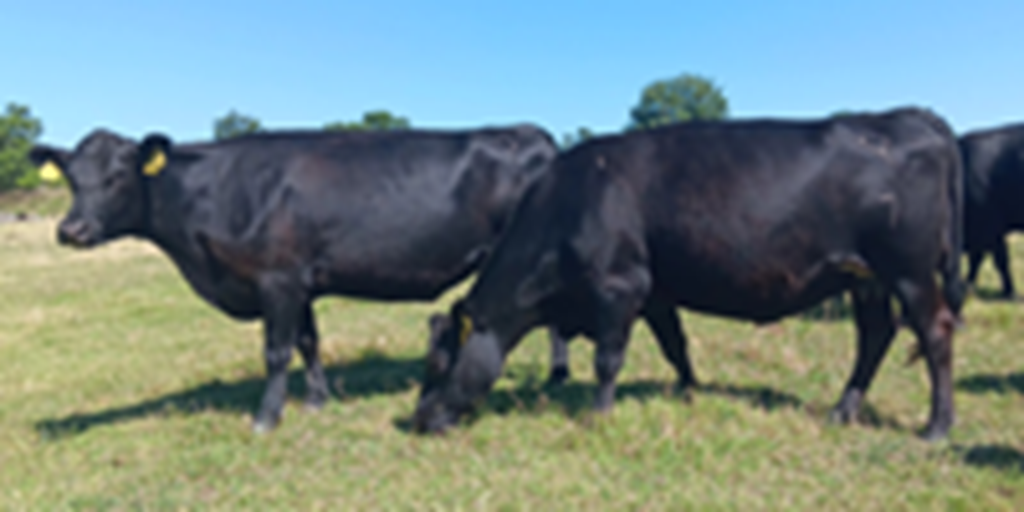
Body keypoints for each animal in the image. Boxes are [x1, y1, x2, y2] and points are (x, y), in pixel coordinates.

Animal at [30, 125, 565, 432]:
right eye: (73, 179)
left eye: (118, 176)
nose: (72, 230)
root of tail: (529, 132)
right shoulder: (300, 282)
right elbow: (308, 342)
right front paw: (315, 401)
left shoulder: (277, 280)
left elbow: (276, 352)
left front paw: (267, 418)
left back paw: (558, 376)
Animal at [414, 107, 966, 441]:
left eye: (439, 367)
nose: (418, 419)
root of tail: (906, 116)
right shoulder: (655, 291)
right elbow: (674, 344)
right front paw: (689, 390)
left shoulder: (619, 287)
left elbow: (607, 359)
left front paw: (598, 414)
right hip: (865, 277)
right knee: (875, 335)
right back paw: (842, 410)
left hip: (910, 272)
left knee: (934, 332)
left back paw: (937, 426)